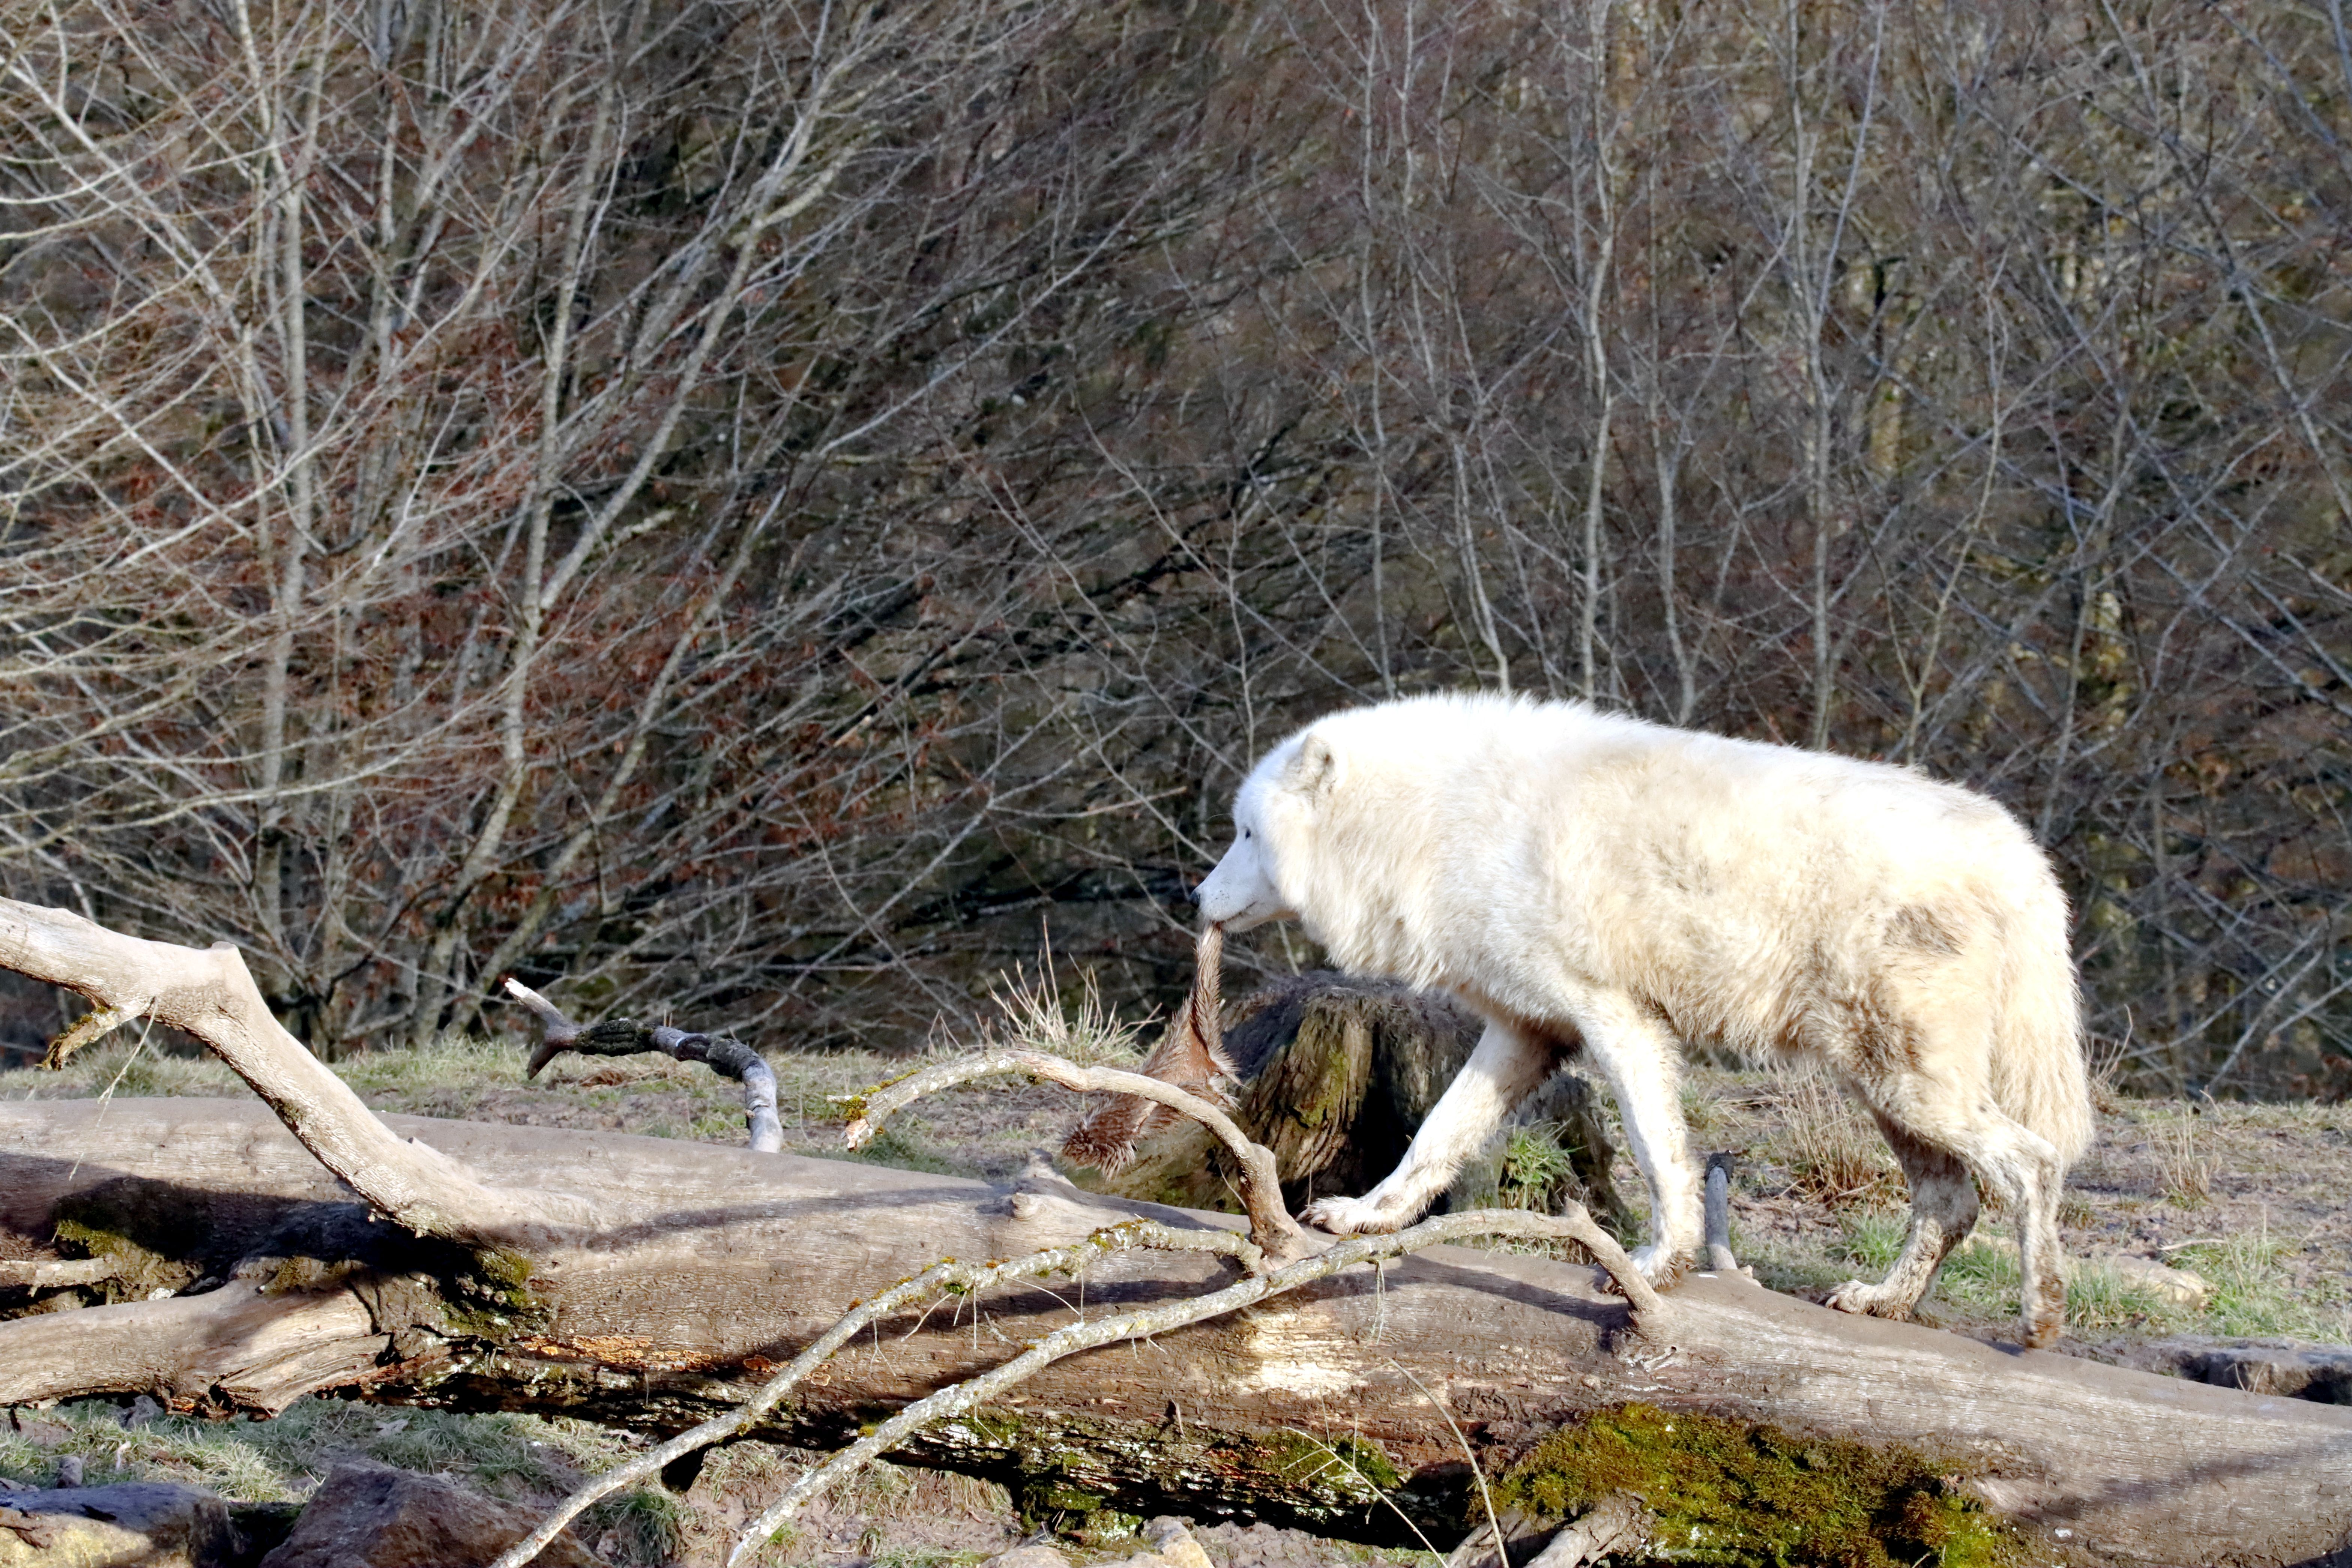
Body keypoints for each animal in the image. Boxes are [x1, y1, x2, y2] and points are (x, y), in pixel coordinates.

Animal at [1192, 692, 2093, 1346]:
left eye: (1245, 833)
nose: (1196, 898)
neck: (1436, 823)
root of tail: (2023, 857)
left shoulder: (1617, 1017)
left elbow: (1662, 1157)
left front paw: (1658, 1267)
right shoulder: (1527, 1028)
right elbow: (1434, 1140)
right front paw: (1364, 1218)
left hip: (1909, 1085)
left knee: (2033, 1163)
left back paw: (2040, 1318)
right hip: (1889, 1090)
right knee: (1953, 1203)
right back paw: (1883, 1302)